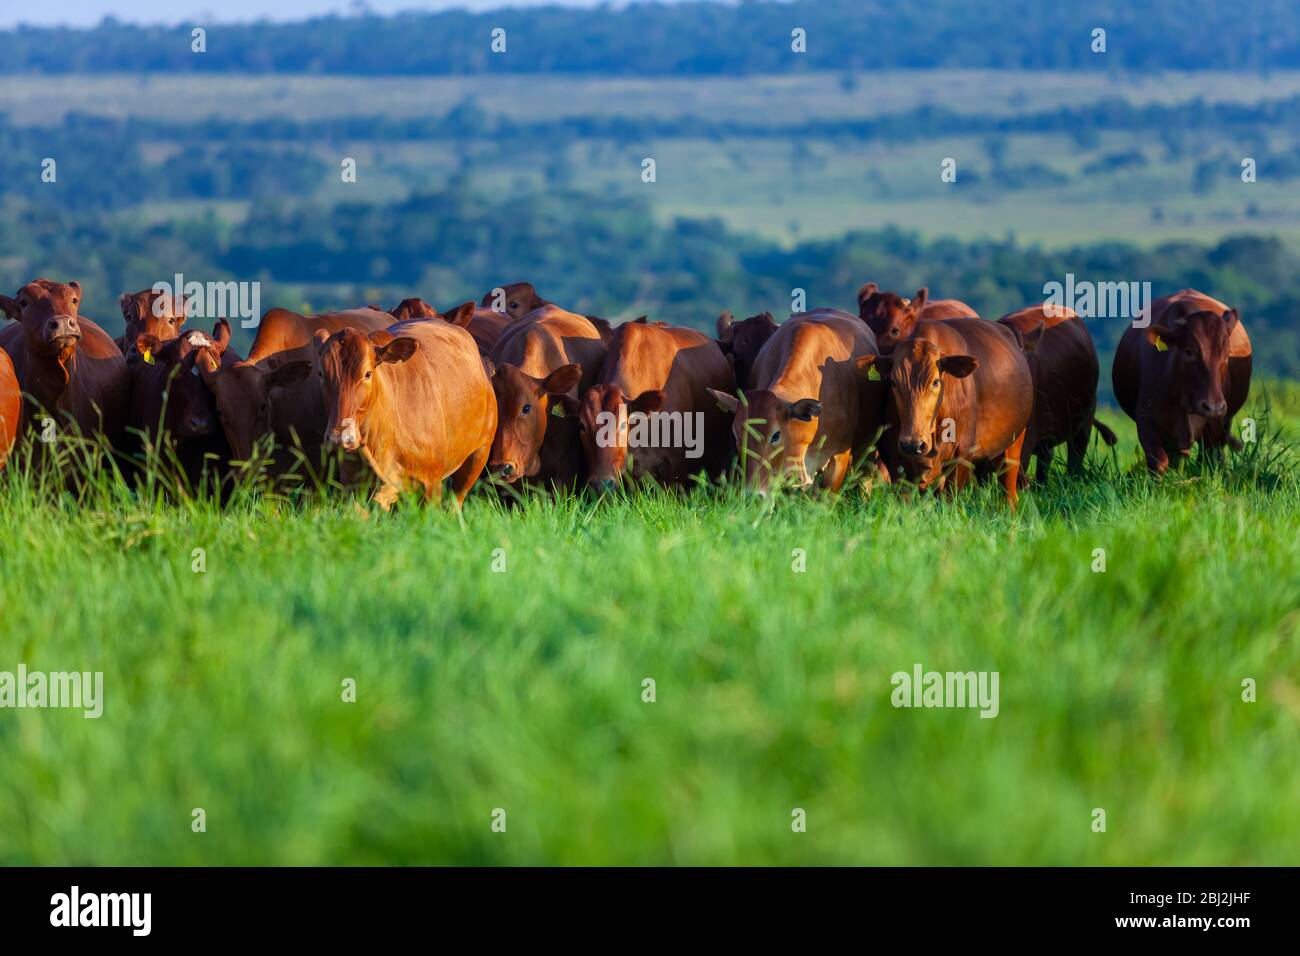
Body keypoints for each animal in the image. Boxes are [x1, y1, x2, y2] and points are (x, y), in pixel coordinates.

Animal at [316, 320, 496, 509]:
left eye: (367, 374)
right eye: (321, 373)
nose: (339, 438)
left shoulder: (431, 485)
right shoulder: (351, 486)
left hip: (478, 454)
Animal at [857, 318, 1033, 507]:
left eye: (935, 382)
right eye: (893, 382)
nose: (913, 444)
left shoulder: (962, 454)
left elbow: (950, 499)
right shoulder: (894, 457)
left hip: (1013, 445)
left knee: (1009, 493)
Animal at [1112, 289, 1252, 474]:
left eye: (1227, 354)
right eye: (1189, 351)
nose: (1213, 407)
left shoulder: (1215, 425)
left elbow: (1207, 460)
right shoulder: (1146, 418)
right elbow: (1159, 462)